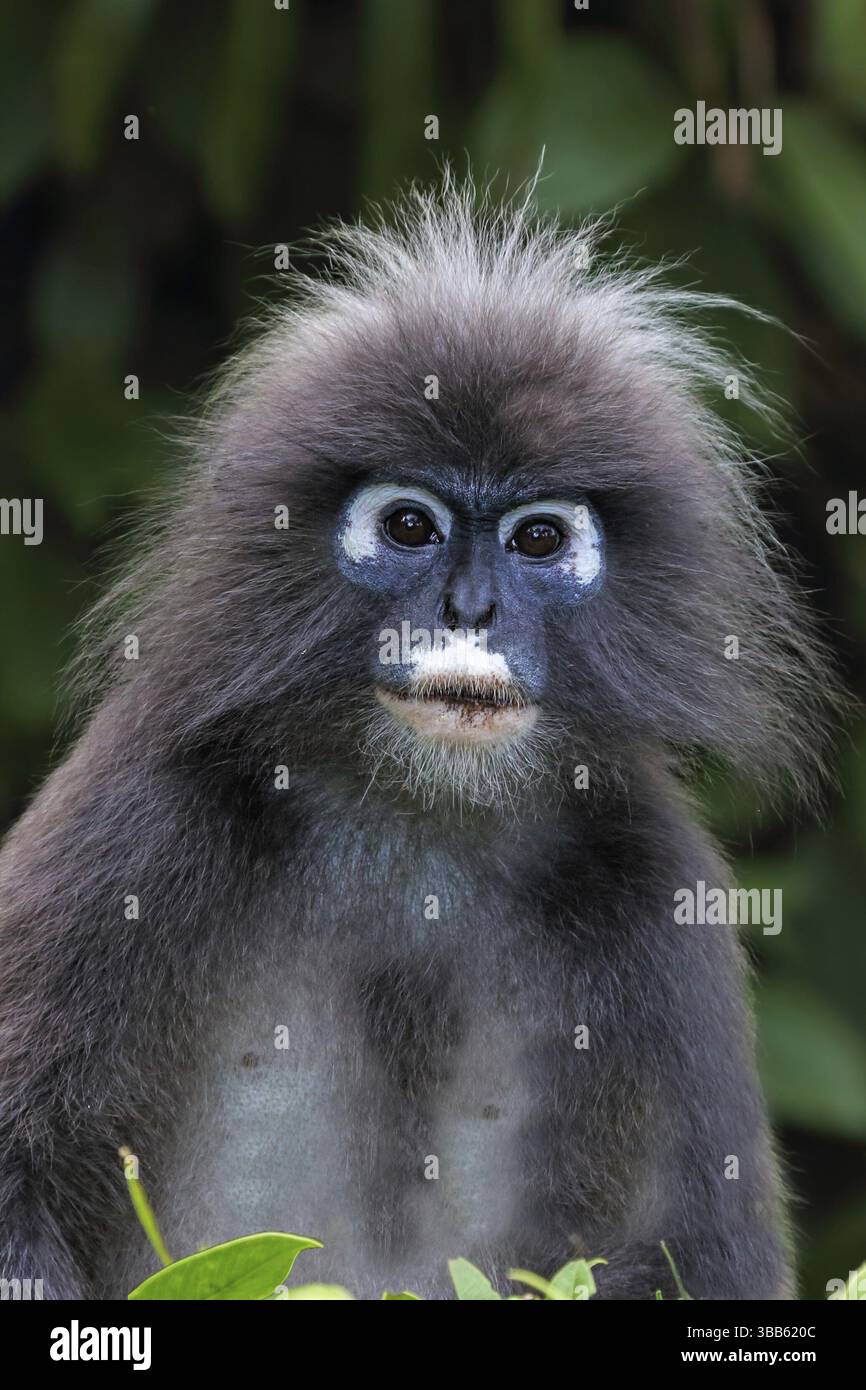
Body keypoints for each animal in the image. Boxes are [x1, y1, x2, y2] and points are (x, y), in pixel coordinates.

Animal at [0, 177, 841, 1301]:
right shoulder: (140, 807)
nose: (470, 607)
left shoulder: (658, 886)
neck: (420, 813)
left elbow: (702, 1252)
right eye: (409, 526)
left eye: (538, 538)